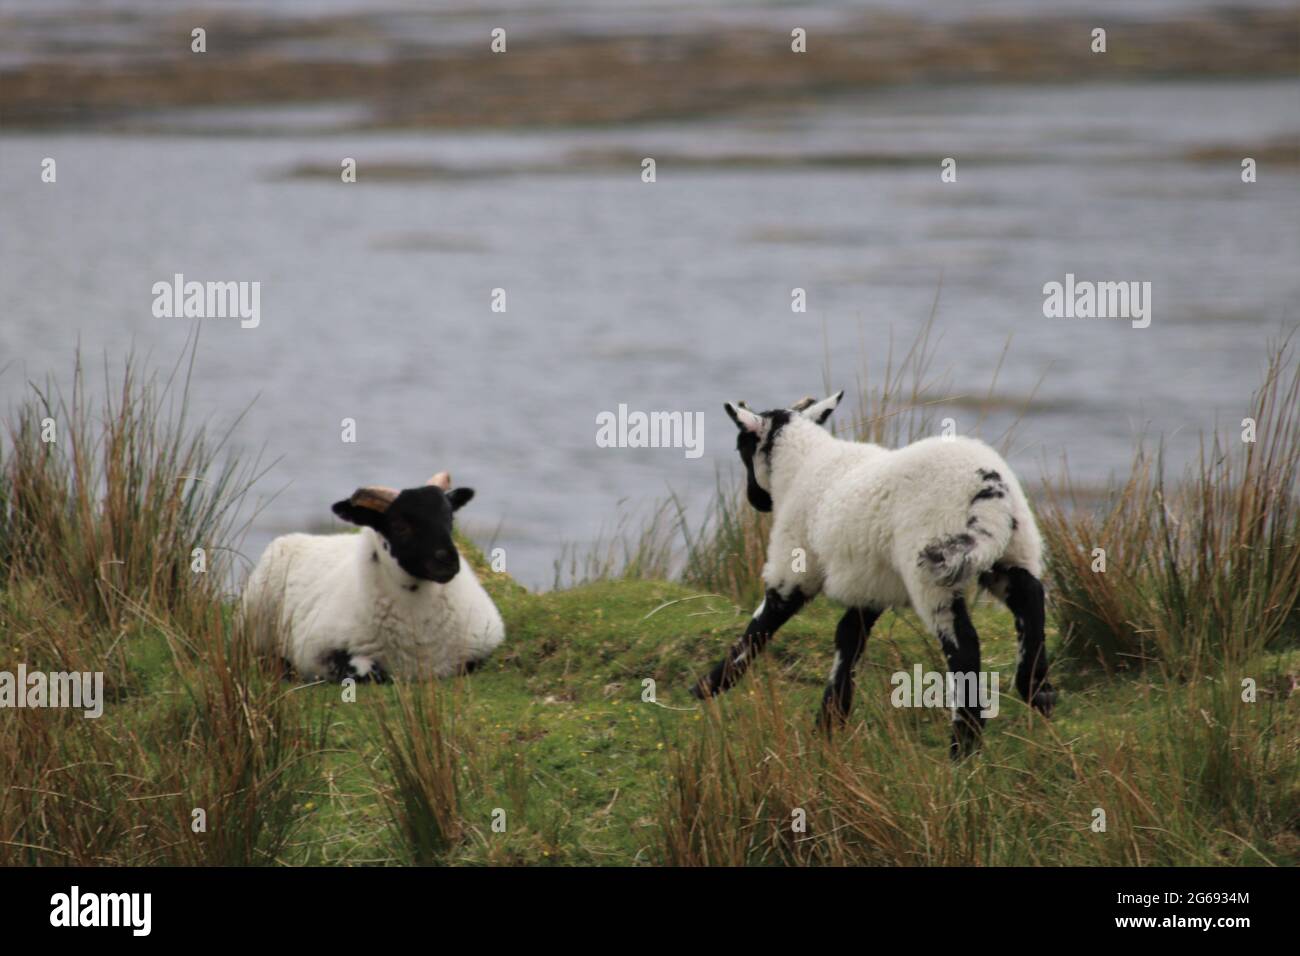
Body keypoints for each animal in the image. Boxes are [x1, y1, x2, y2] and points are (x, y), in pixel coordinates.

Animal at [243, 471, 505, 682]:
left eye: (450, 518)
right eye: (400, 525)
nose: (448, 561)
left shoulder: (482, 649)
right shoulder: (317, 651)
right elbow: (366, 671)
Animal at [690, 392, 1055, 756]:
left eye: (742, 446)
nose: (757, 501)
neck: (802, 465)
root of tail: (987, 486)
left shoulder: (794, 564)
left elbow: (762, 624)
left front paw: (709, 686)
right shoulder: (870, 583)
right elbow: (849, 637)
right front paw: (829, 721)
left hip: (931, 569)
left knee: (963, 644)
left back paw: (963, 745)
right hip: (1014, 548)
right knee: (1030, 597)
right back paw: (1036, 690)